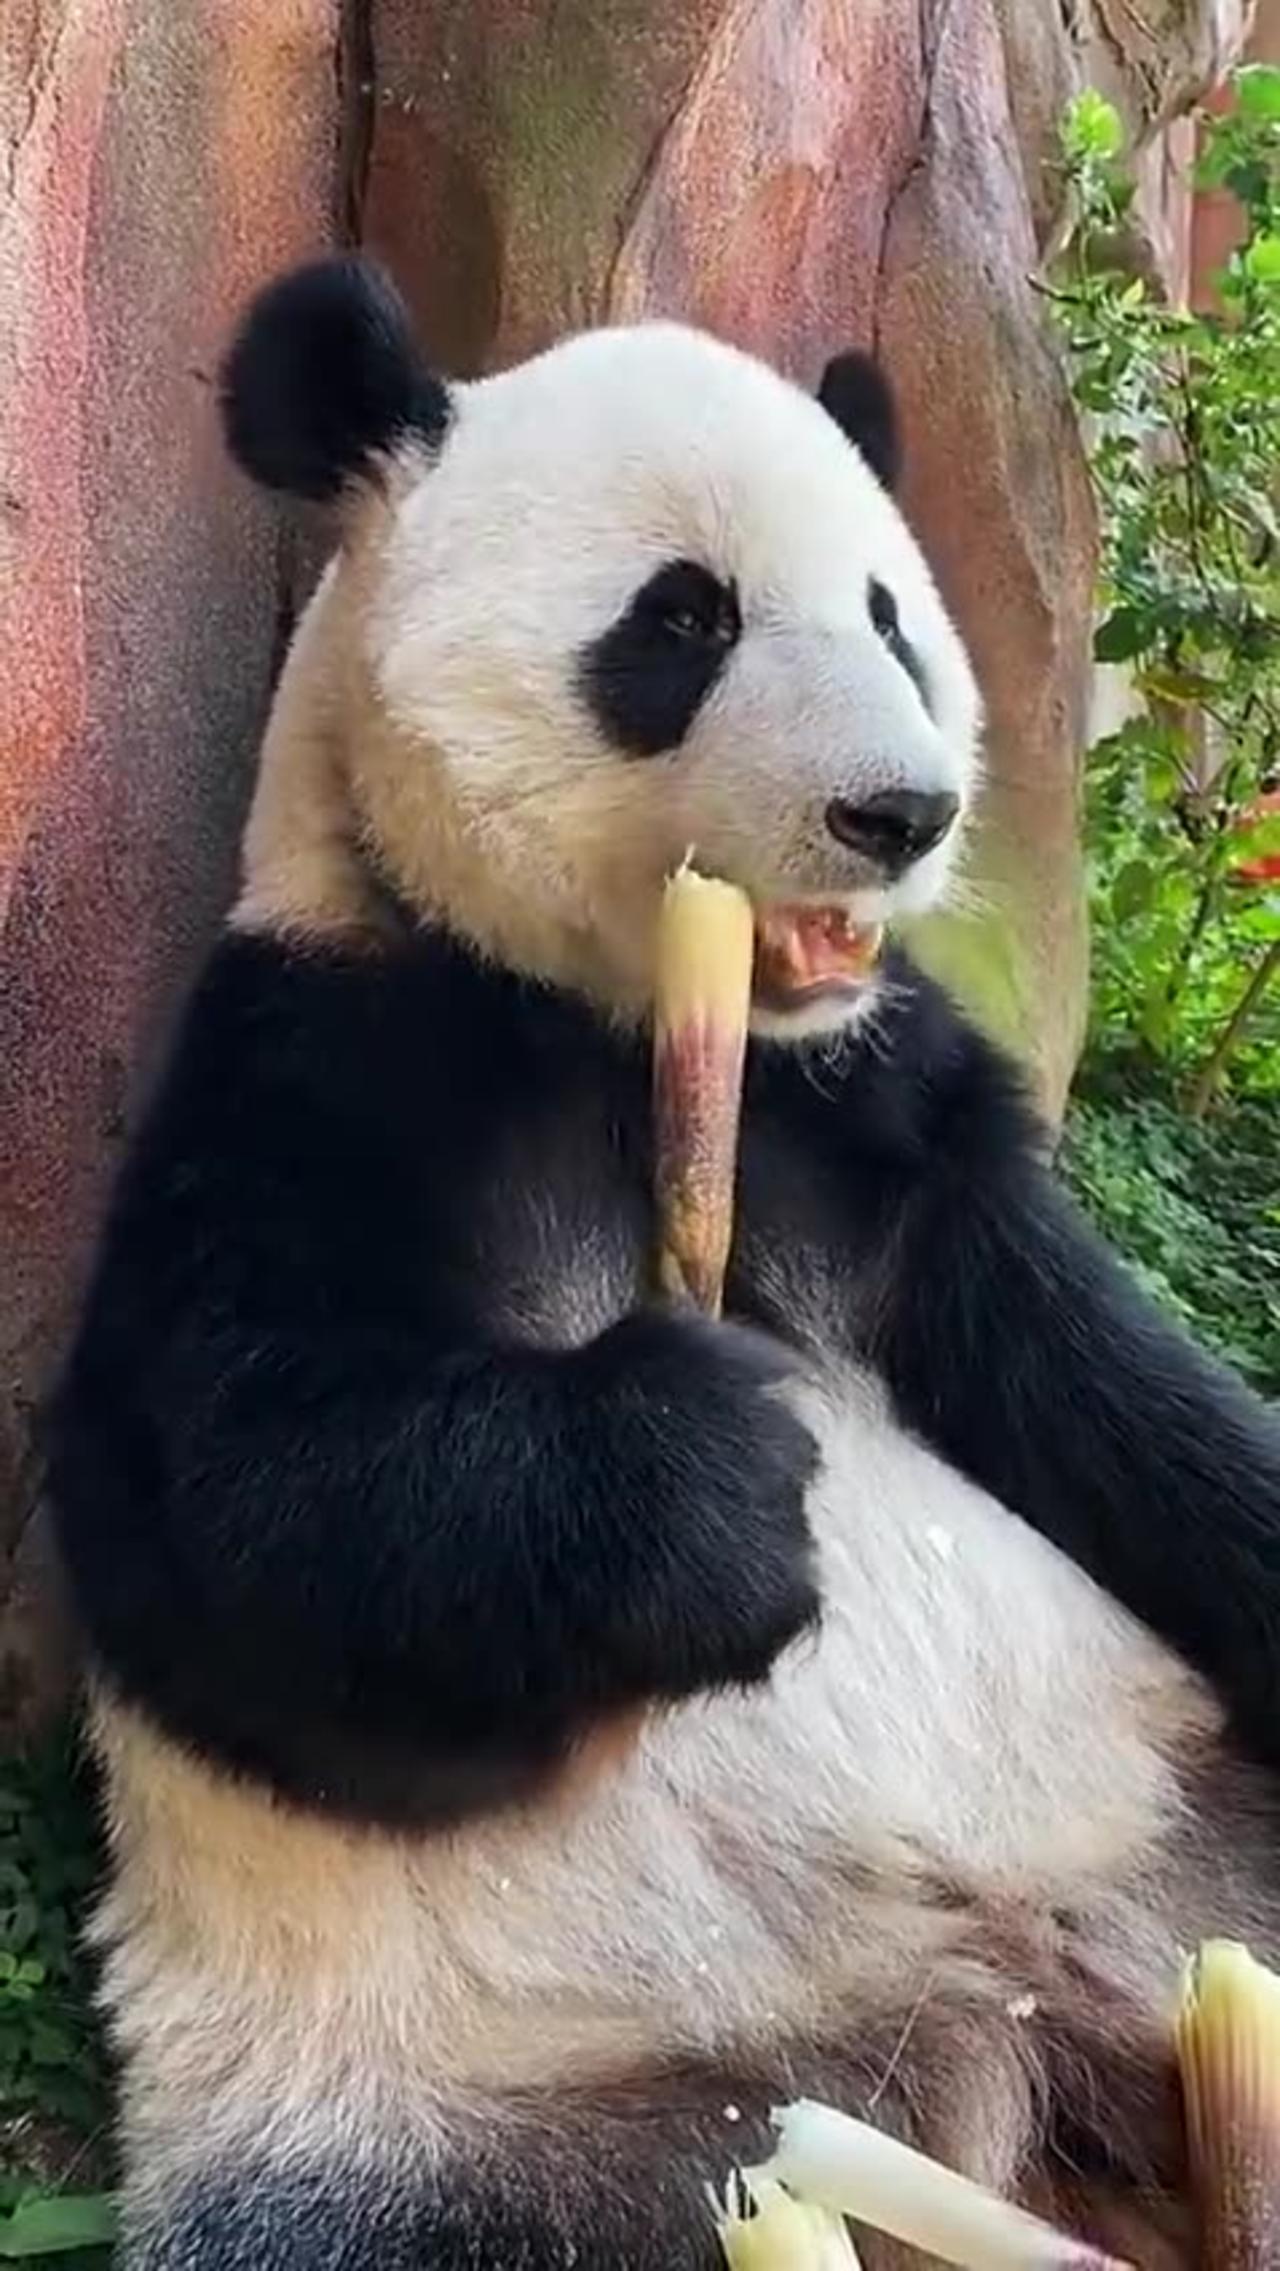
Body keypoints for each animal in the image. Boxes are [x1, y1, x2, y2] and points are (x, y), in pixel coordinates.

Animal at [45, 257, 1280, 2271]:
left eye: (892, 618)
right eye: (683, 621)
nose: (903, 811)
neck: (647, 1033)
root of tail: (1004, 2008)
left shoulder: (882, 1120)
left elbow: (1099, 1381)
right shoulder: (322, 1055)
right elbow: (233, 1514)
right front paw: (722, 1476)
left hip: (1177, 1806)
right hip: (493, 2104)